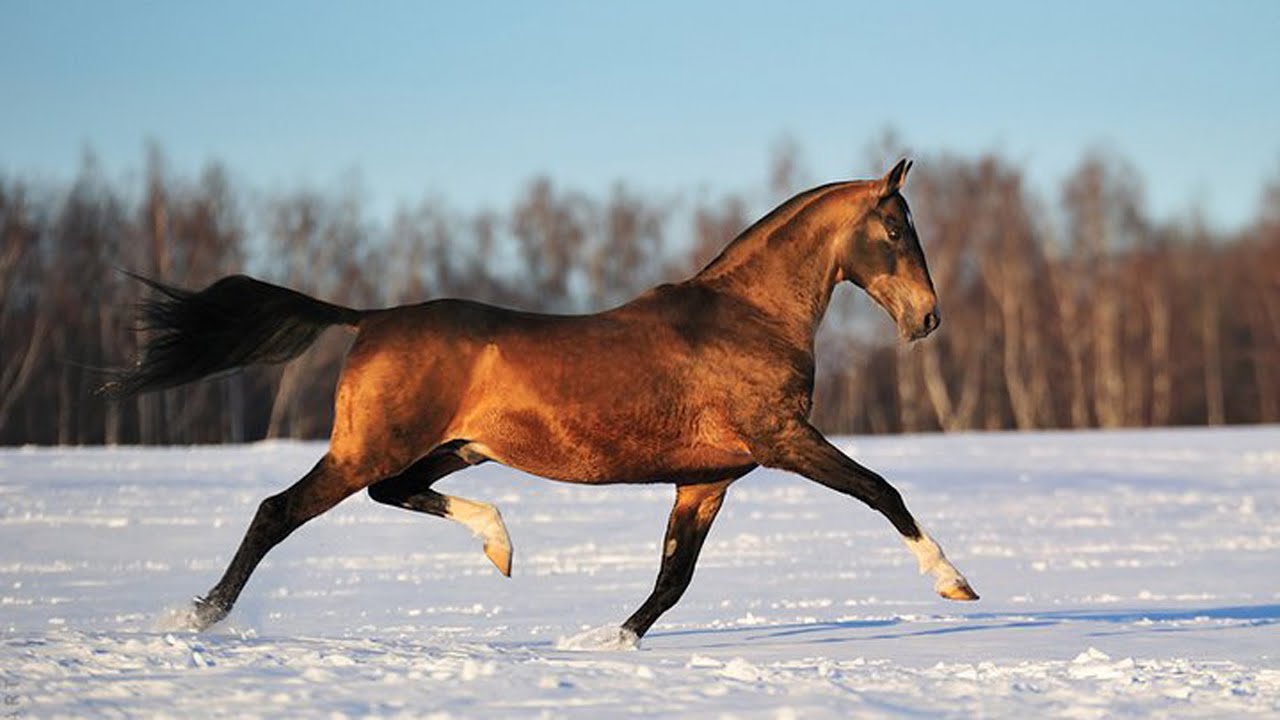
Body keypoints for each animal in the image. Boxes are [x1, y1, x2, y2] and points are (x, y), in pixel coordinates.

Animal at [111, 159, 977, 644]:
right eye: (895, 229)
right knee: (277, 511)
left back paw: (500, 545)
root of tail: (369, 318)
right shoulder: (783, 439)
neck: (748, 318)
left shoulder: (707, 479)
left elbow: (673, 577)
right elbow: (881, 490)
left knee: (394, 493)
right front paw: (954, 583)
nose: (929, 318)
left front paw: (605, 644)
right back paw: (199, 616)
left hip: (449, 449)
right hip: (367, 447)